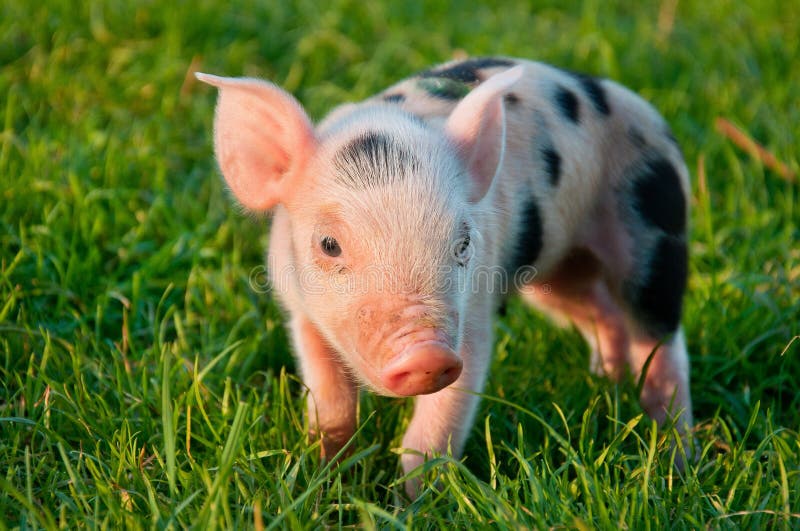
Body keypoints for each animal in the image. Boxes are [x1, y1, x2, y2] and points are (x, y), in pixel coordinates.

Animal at [195, 56, 694, 494]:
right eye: (329, 244)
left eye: (463, 243)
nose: (427, 354)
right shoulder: (302, 315)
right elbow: (331, 408)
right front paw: (323, 481)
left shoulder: (473, 317)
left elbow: (431, 436)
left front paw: (410, 507)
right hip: (558, 276)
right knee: (601, 312)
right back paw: (606, 383)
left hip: (655, 225)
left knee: (661, 341)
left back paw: (677, 459)